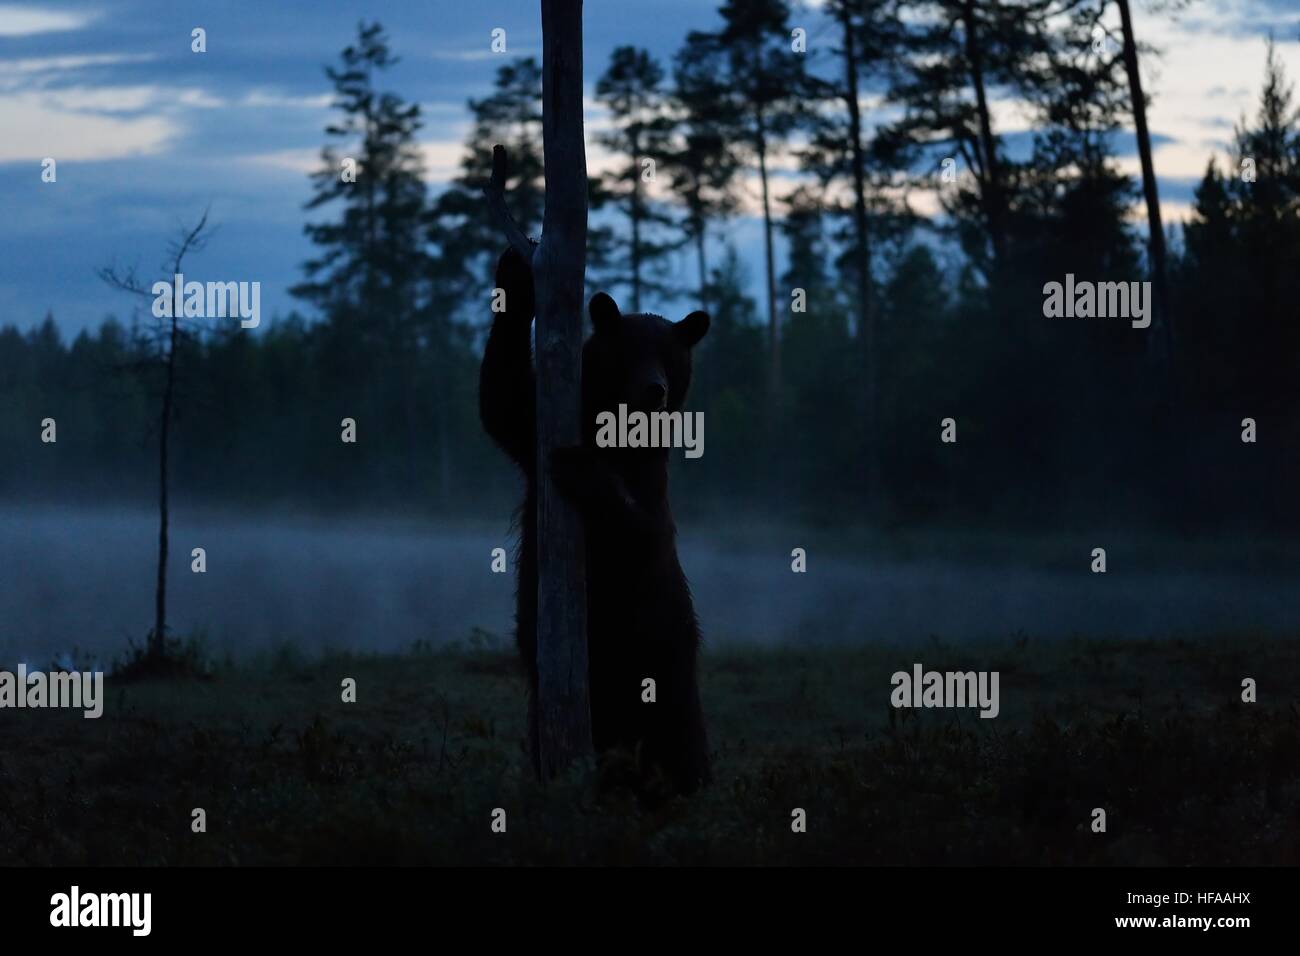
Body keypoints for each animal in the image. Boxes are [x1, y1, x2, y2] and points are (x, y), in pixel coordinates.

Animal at [480, 245, 711, 796]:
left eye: (669, 355)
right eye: (629, 350)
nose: (654, 390)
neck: (618, 436)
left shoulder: (651, 495)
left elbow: (639, 534)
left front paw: (578, 465)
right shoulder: (537, 432)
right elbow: (503, 398)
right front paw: (516, 273)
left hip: (664, 663)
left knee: (682, 737)